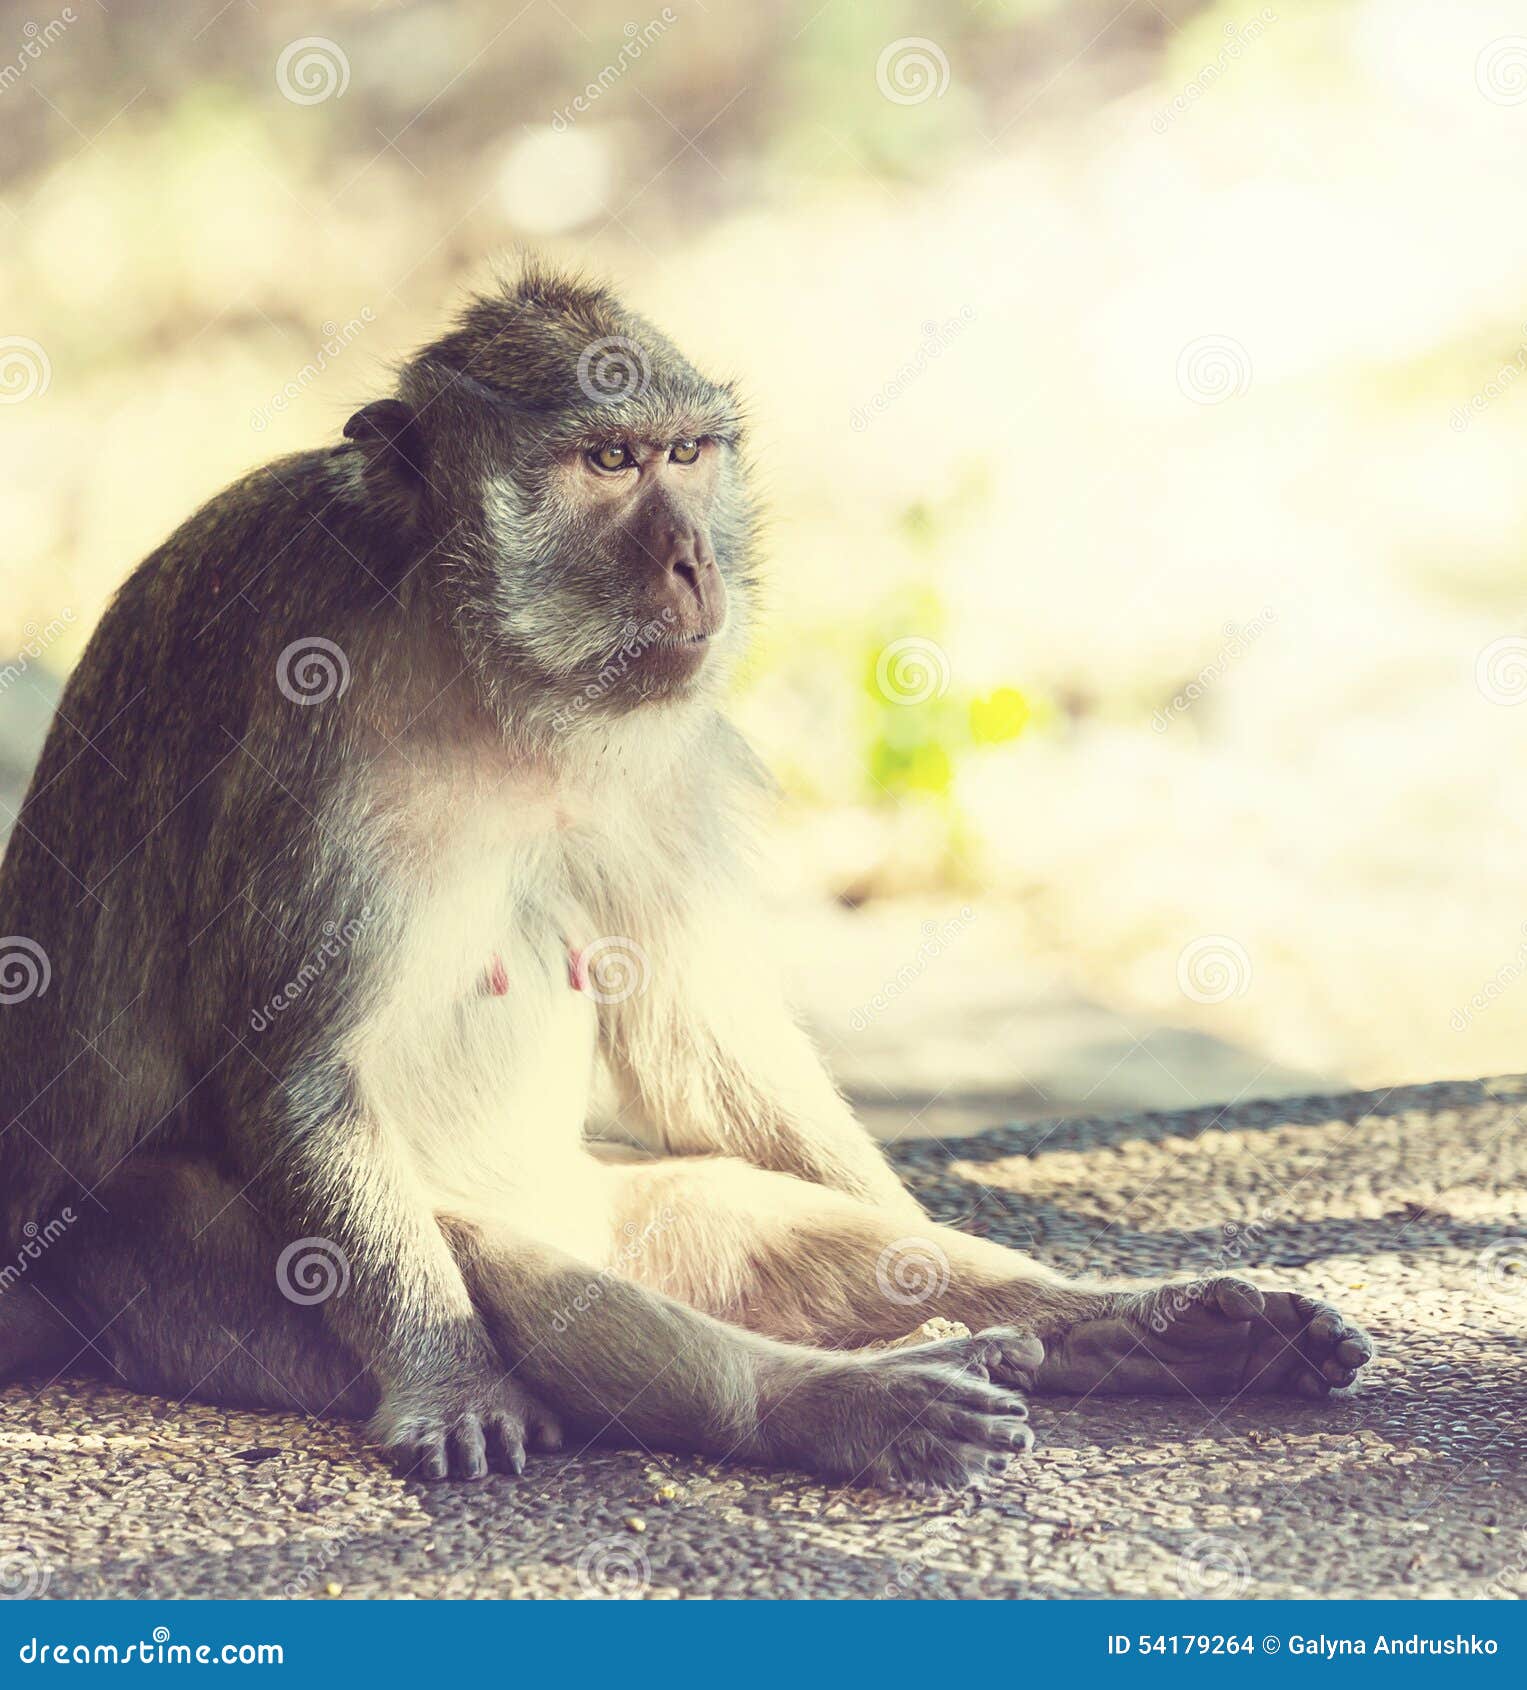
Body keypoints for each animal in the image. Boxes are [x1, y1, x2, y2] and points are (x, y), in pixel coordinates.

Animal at [0, 262, 1373, 1488]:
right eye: (608, 463)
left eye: (689, 453)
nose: (693, 563)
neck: (472, 656)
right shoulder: (305, 717)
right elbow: (296, 1068)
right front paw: (451, 1374)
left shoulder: (656, 740)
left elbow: (692, 1025)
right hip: (150, 1272)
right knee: (484, 1250)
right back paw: (828, 1406)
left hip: (604, 1205)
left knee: (731, 1210)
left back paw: (1103, 1327)